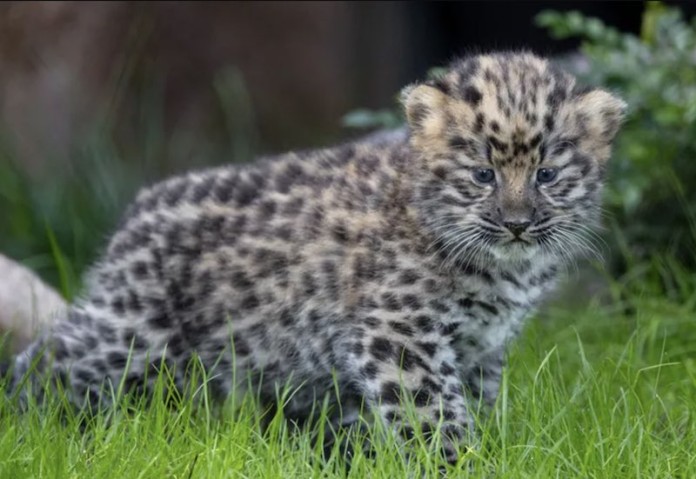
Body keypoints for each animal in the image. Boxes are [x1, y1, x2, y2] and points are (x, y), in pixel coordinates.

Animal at [3, 51, 626, 464]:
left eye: (547, 175)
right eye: (481, 175)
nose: (517, 224)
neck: (504, 270)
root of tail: (136, 214)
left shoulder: (481, 348)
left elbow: (472, 401)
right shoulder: (400, 334)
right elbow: (433, 413)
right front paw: (460, 464)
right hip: (135, 336)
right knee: (51, 357)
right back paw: (25, 424)